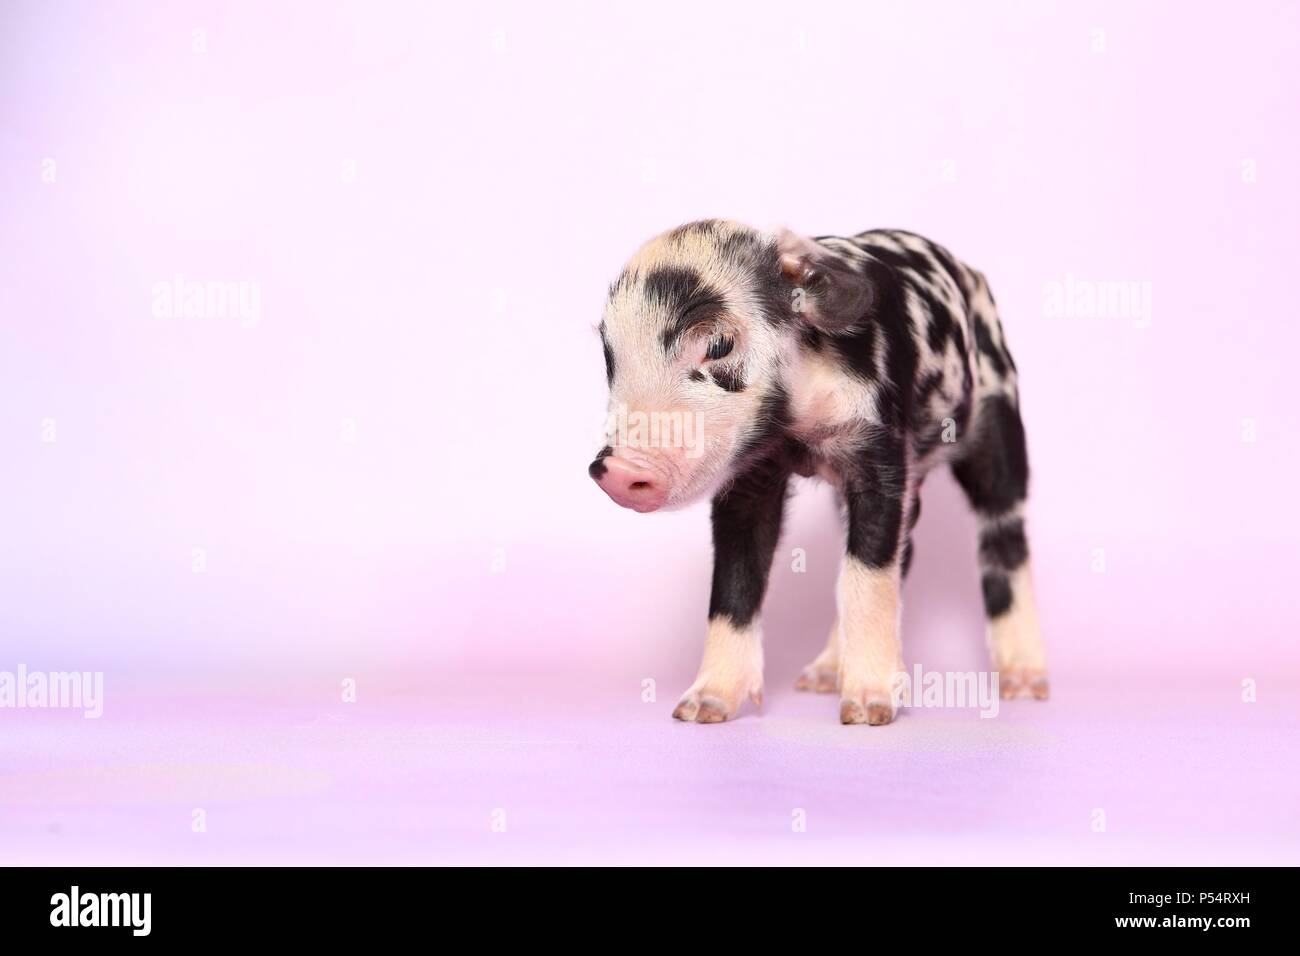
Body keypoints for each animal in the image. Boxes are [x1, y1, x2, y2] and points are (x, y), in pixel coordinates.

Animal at [588, 220, 1047, 725]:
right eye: (609, 357)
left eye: (719, 345)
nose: (615, 469)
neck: (796, 431)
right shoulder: (749, 481)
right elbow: (733, 582)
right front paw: (699, 710)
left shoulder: (880, 452)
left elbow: (865, 575)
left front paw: (867, 713)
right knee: (905, 547)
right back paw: (818, 679)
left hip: (999, 411)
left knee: (1003, 534)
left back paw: (1026, 685)